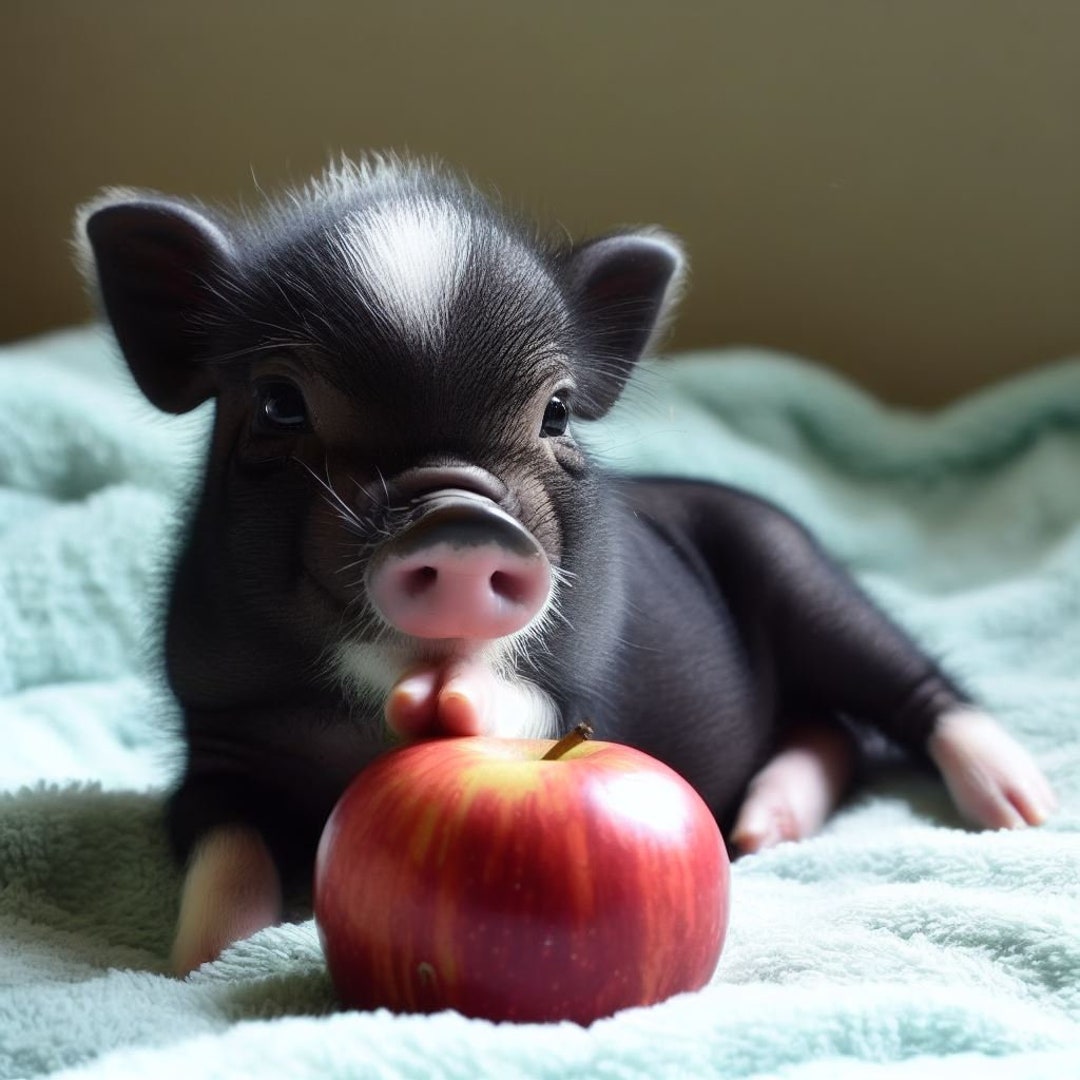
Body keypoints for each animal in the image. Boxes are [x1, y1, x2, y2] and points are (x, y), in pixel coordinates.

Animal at [76, 156, 1056, 975]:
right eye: (279, 404)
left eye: (556, 411)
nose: (460, 519)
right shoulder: (214, 737)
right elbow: (223, 848)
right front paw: (196, 963)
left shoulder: (598, 670)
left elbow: (538, 705)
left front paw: (454, 707)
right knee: (831, 731)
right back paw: (762, 832)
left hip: (791, 565)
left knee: (901, 684)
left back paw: (1022, 808)